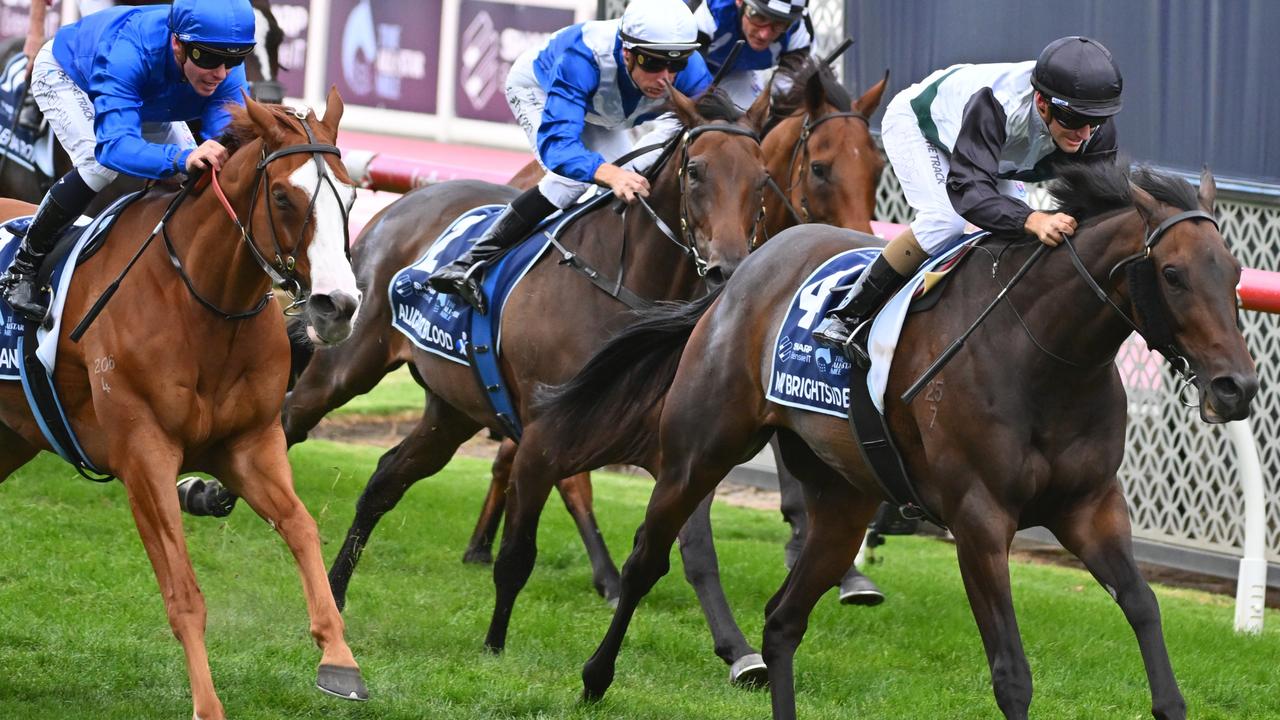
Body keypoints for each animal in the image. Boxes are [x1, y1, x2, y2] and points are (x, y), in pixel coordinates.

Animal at [0, 89, 366, 720]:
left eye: (351, 196)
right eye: (282, 196)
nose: (336, 305)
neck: (203, 303)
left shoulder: (249, 444)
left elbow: (301, 526)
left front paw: (338, 659)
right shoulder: (143, 455)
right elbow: (184, 593)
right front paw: (207, 706)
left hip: (10, 436)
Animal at [282, 86, 778, 682]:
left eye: (762, 178)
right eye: (697, 171)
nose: (728, 270)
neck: (625, 294)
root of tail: (396, 208)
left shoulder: (680, 454)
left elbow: (697, 551)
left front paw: (741, 652)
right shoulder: (542, 440)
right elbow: (518, 553)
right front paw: (494, 647)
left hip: (451, 412)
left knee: (385, 479)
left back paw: (335, 591)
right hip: (348, 366)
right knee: (291, 418)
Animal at [528, 162, 1256, 719]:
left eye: (1233, 273)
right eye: (1172, 274)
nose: (1237, 388)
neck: (1045, 361)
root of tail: (744, 272)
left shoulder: (1090, 507)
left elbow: (1143, 606)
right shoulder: (979, 519)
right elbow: (1011, 671)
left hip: (843, 500)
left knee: (784, 617)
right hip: (698, 452)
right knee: (646, 559)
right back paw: (594, 678)